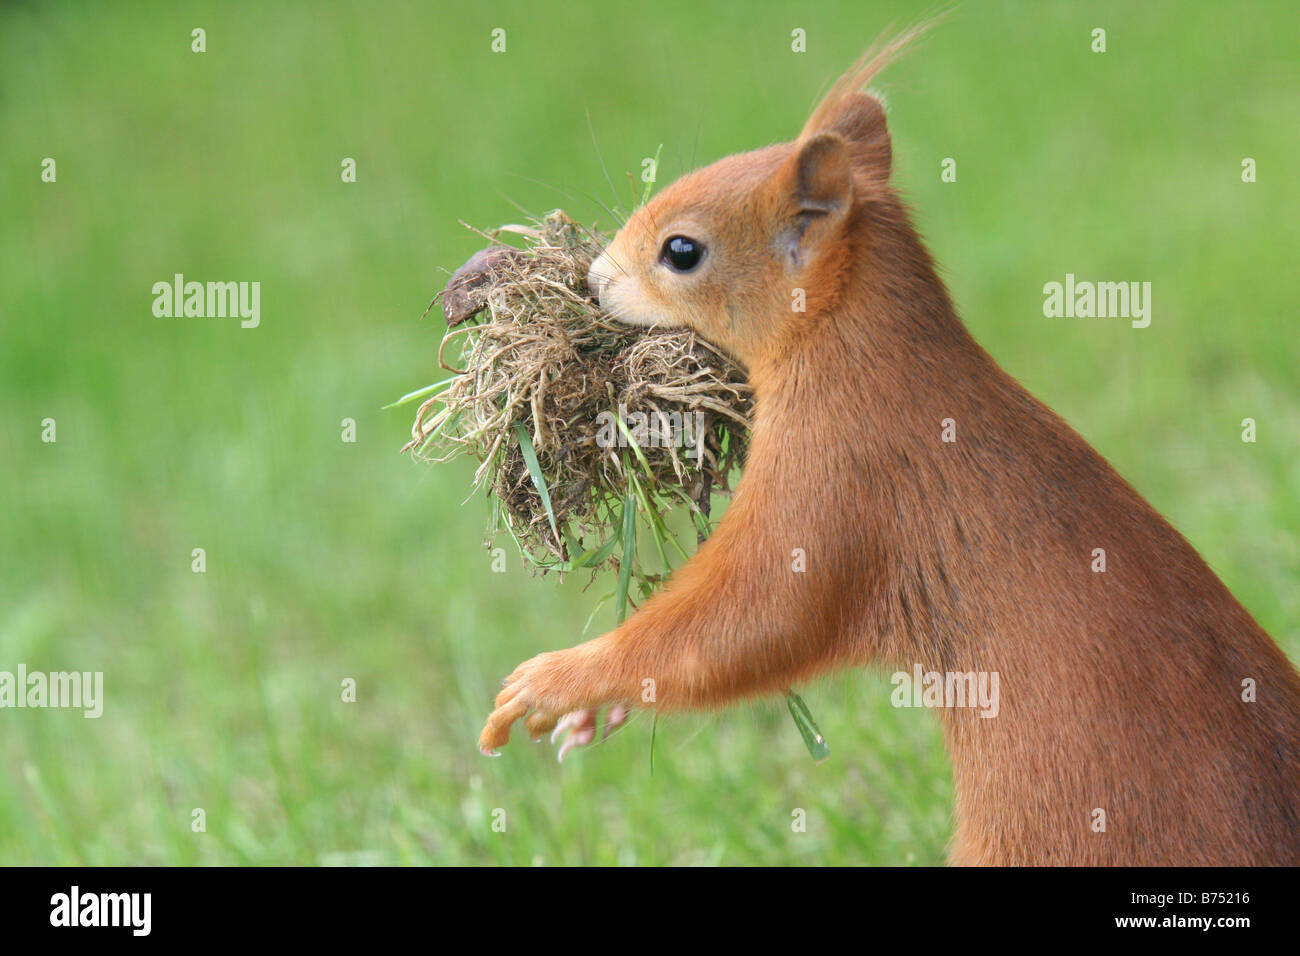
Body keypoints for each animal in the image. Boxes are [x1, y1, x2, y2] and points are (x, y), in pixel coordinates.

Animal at [454, 34, 1300, 865]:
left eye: (682, 250)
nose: (593, 280)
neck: (859, 350)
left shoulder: (839, 472)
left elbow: (751, 619)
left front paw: (560, 680)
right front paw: (590, 715)